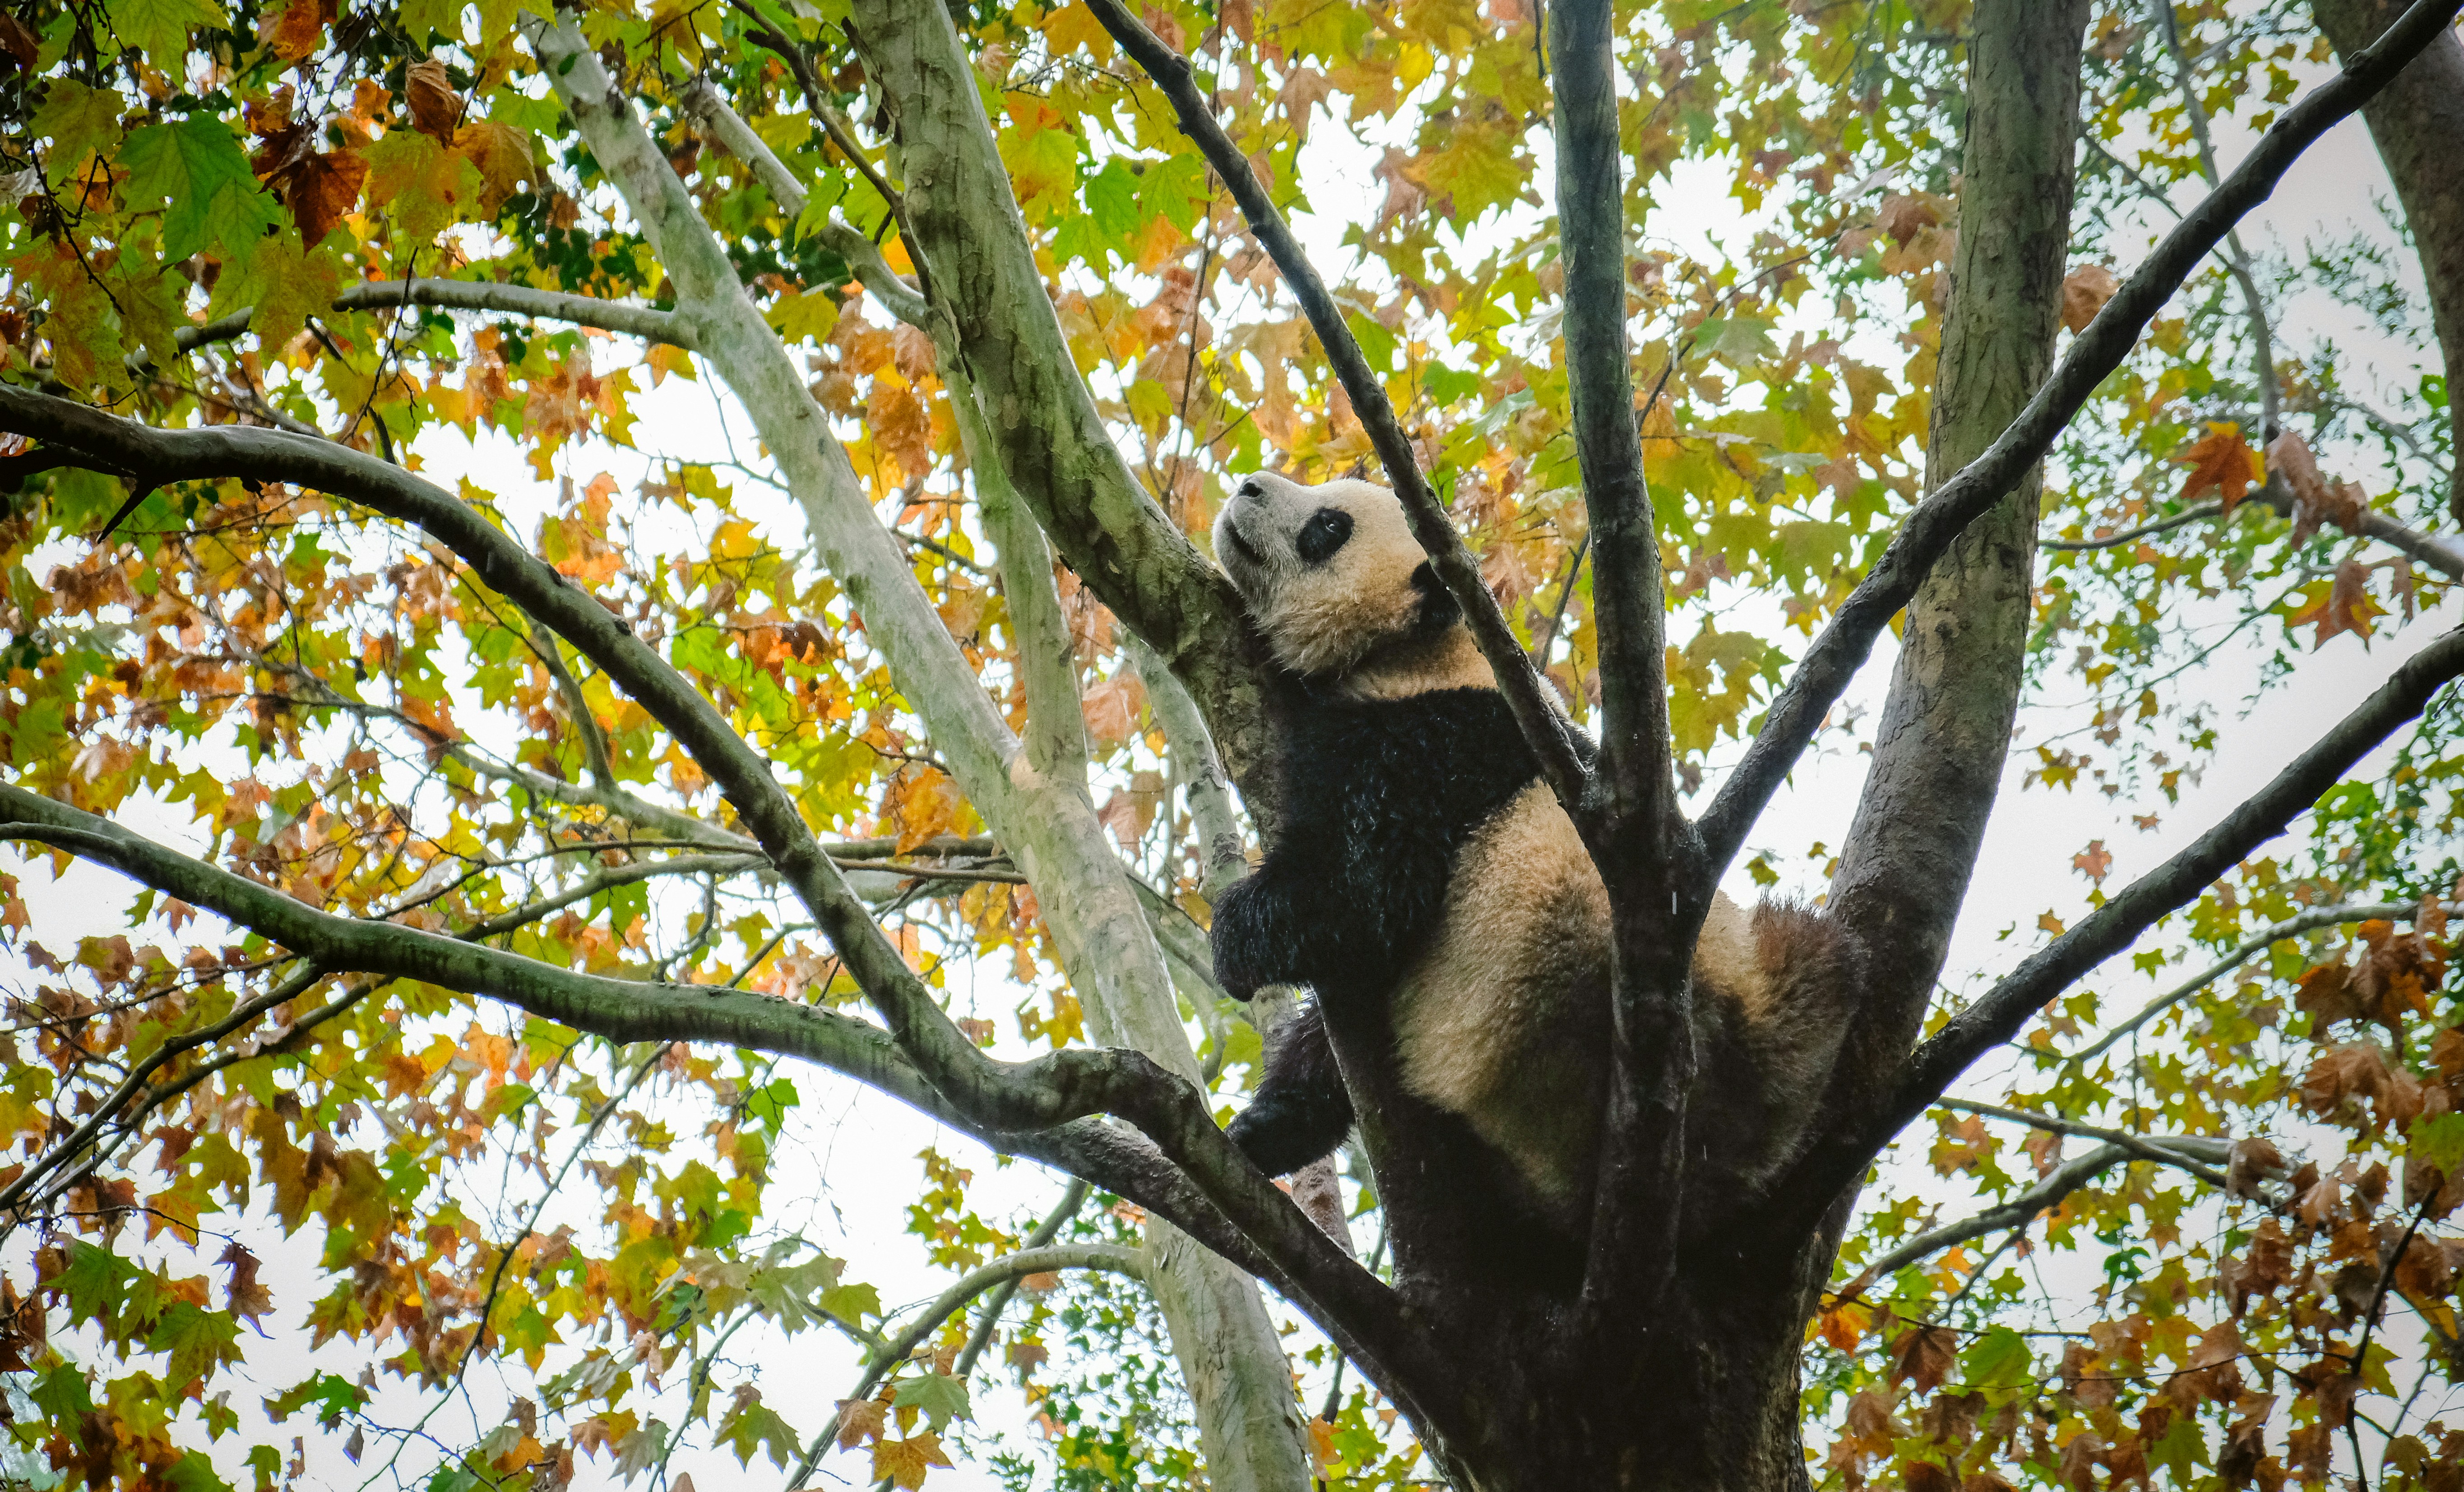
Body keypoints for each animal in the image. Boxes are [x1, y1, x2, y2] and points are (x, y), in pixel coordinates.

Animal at [1207, 470, 1857, 1242]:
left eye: (1327, 528)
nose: (1248, 486)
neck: (1429, 651)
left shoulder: (1430, 743)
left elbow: (1365, 895)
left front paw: (1234, 939)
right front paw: (1267, 1122)